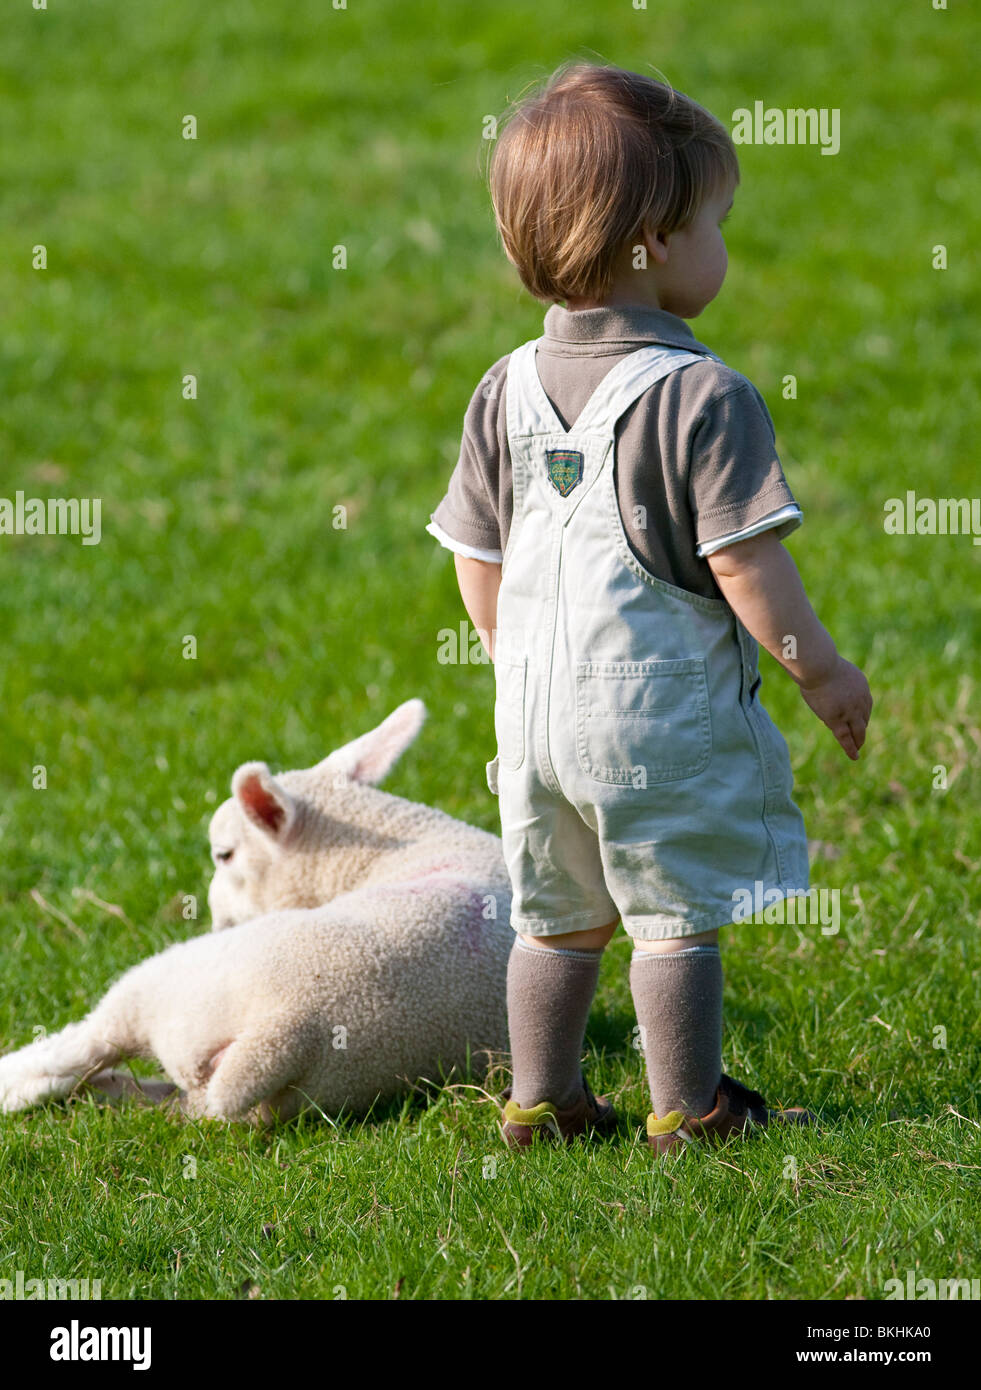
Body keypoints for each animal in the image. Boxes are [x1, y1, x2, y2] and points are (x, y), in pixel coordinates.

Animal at [0, 700, 513, 1123]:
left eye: (224, 854)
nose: (219, 921)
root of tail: (287, 1031)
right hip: (251, 1097)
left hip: (160, 988)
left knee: (81, 1047)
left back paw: (16, 1083)